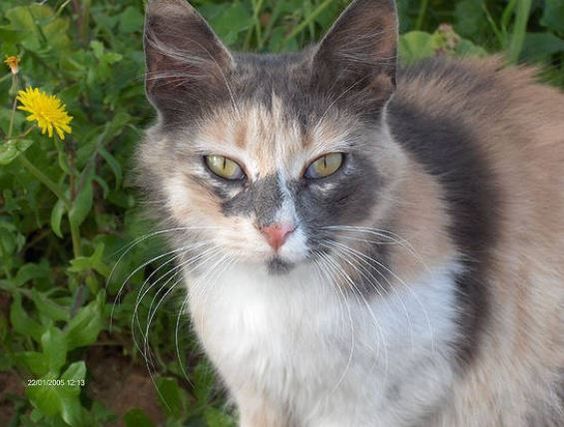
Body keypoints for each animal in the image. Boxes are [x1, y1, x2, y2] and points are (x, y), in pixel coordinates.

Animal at [137, 0, 564, 426]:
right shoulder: (255, 391)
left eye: (326, 165)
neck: (282, 310)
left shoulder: (377, 401)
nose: (276, 230)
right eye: (223, 166)